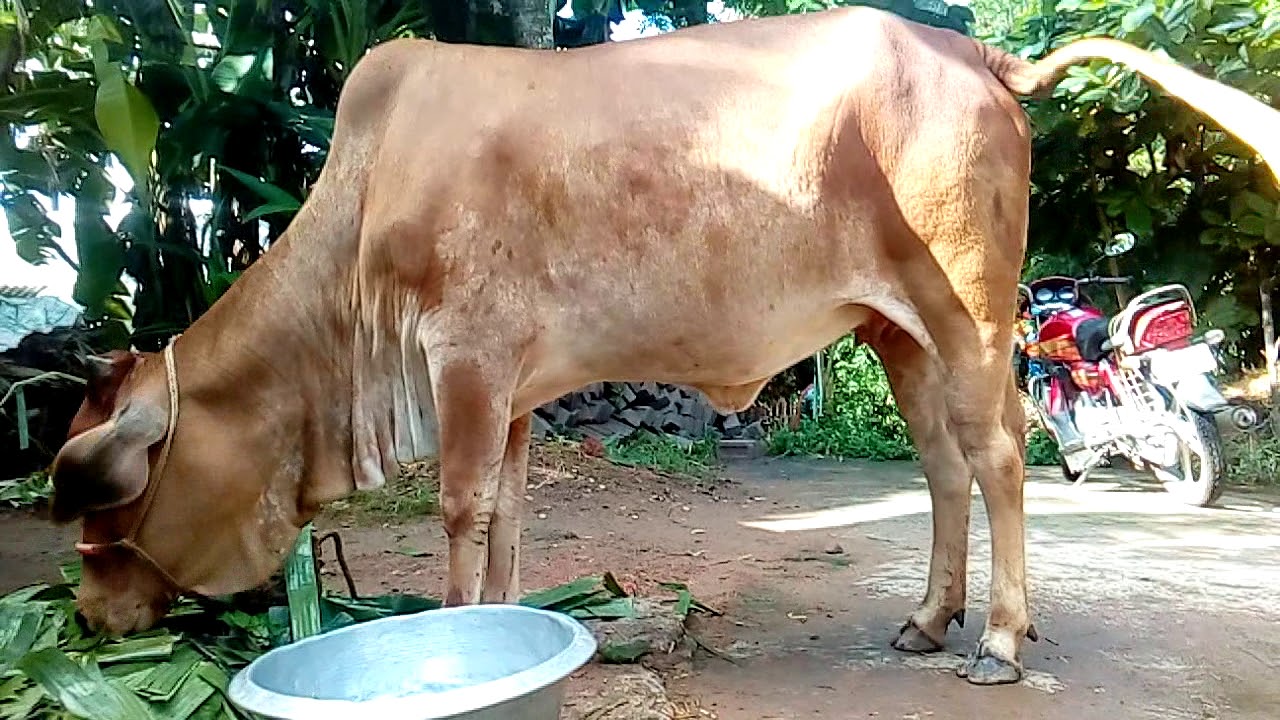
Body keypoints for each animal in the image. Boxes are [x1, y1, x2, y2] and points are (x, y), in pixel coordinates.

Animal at [47, 6, 1278, 686]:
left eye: (108, 500)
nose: (88, 619)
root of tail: (973, 53)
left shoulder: (465, 361)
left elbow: (460, 511)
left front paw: (451, 634)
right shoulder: (510, 388)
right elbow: (509, 514)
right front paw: (509, 626)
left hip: (969, 310)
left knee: (1001, 457)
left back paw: (1003, 643)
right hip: (898, 330)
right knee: (940, 465)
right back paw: (930, 620)